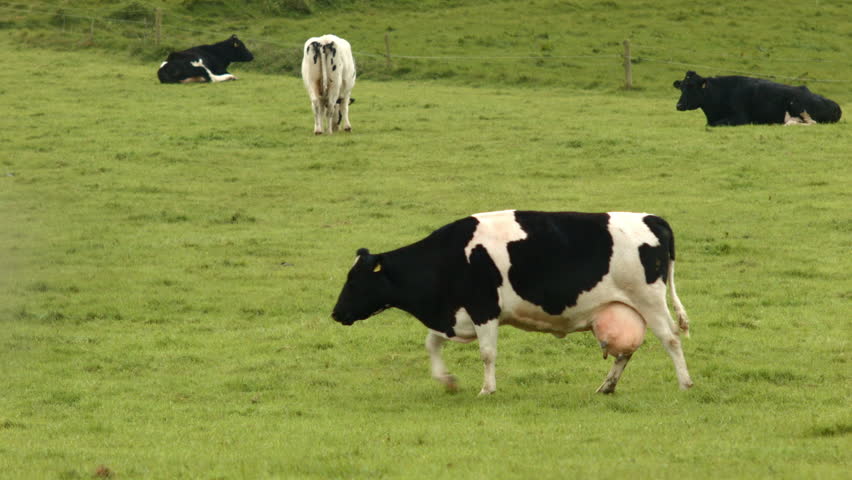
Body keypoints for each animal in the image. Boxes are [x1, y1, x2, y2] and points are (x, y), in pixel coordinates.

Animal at [331, 210, 694, 395]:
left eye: (354, 280)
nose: (336, 313)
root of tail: (653, 218)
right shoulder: (456, 314)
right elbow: (431, 344)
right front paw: (447, 380)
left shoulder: (484, 310)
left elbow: (487, 354)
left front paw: (487, 389)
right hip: (626, 308)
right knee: (627, 349)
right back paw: (607, 386)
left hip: (650, 300)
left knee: (671, 339)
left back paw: (685, 383)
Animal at [673, 70, 842, 126]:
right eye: (681, 87)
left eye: (692, 87)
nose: (679, 106)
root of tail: (836, 106)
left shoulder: (740, 118)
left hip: (797, 104)